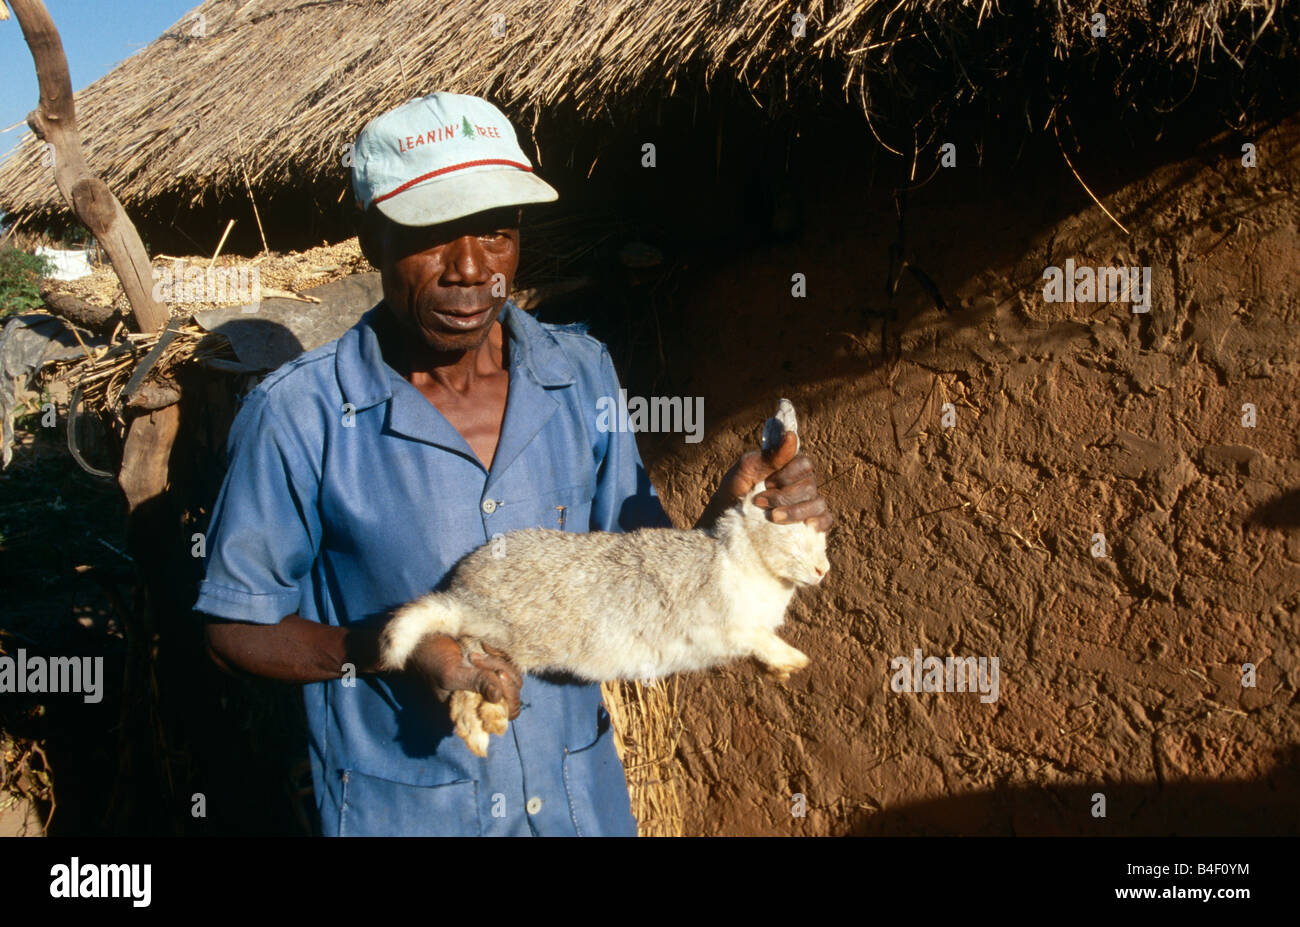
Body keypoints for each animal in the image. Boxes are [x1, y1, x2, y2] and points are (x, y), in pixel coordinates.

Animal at [377, 399, 829, 757]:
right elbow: (757, 639)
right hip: (499, 631)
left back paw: (482, 733)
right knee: (469, 661)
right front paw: (796, 661)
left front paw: (781, 671)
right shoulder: (726, 626)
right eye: (790, 533)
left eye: (820, 532)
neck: (744, 555)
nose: (823, 570)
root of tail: (461, 590)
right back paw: (489, 724)